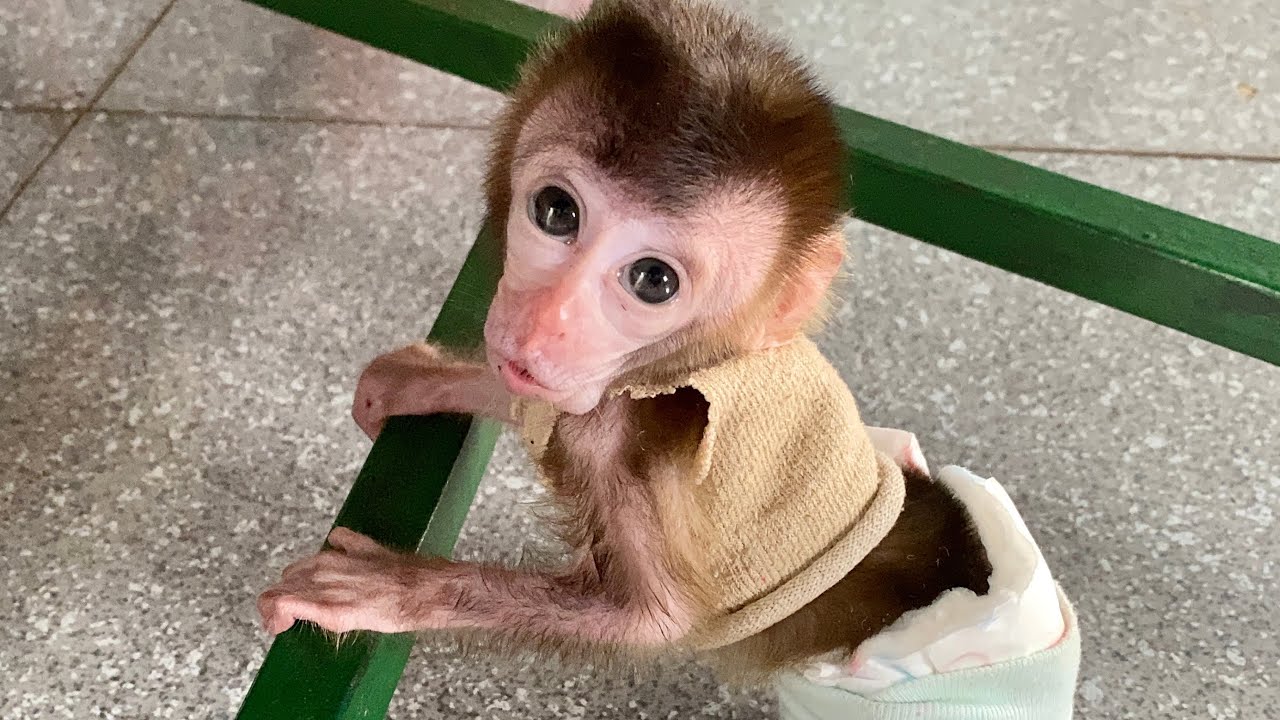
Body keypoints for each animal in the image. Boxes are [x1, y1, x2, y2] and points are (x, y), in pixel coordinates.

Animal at [257, 1, 1081, 717]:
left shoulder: (637, 453)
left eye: (653, 280)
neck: (669, 374)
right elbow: (530, 395)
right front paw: (421, 379)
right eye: (556, 211)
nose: (545, 325)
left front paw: (392, 591)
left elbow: (652, 619)